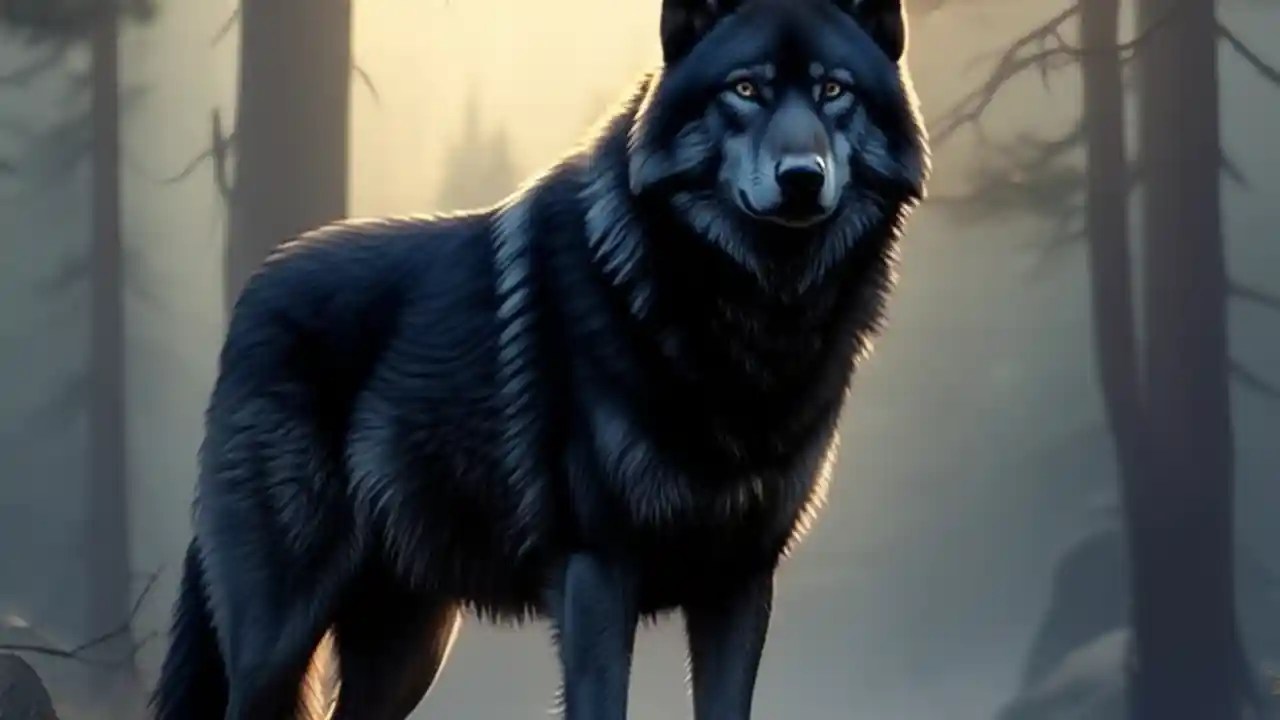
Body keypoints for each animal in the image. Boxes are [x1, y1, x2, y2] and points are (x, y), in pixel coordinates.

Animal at [151, 1, 928, 718]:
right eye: (745, 89)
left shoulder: (739, 583)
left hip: (408, 650)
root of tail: (255, 289)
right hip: (280, 644)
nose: (801, 177)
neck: (749, 320)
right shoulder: (598, 573)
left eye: (833, 90)